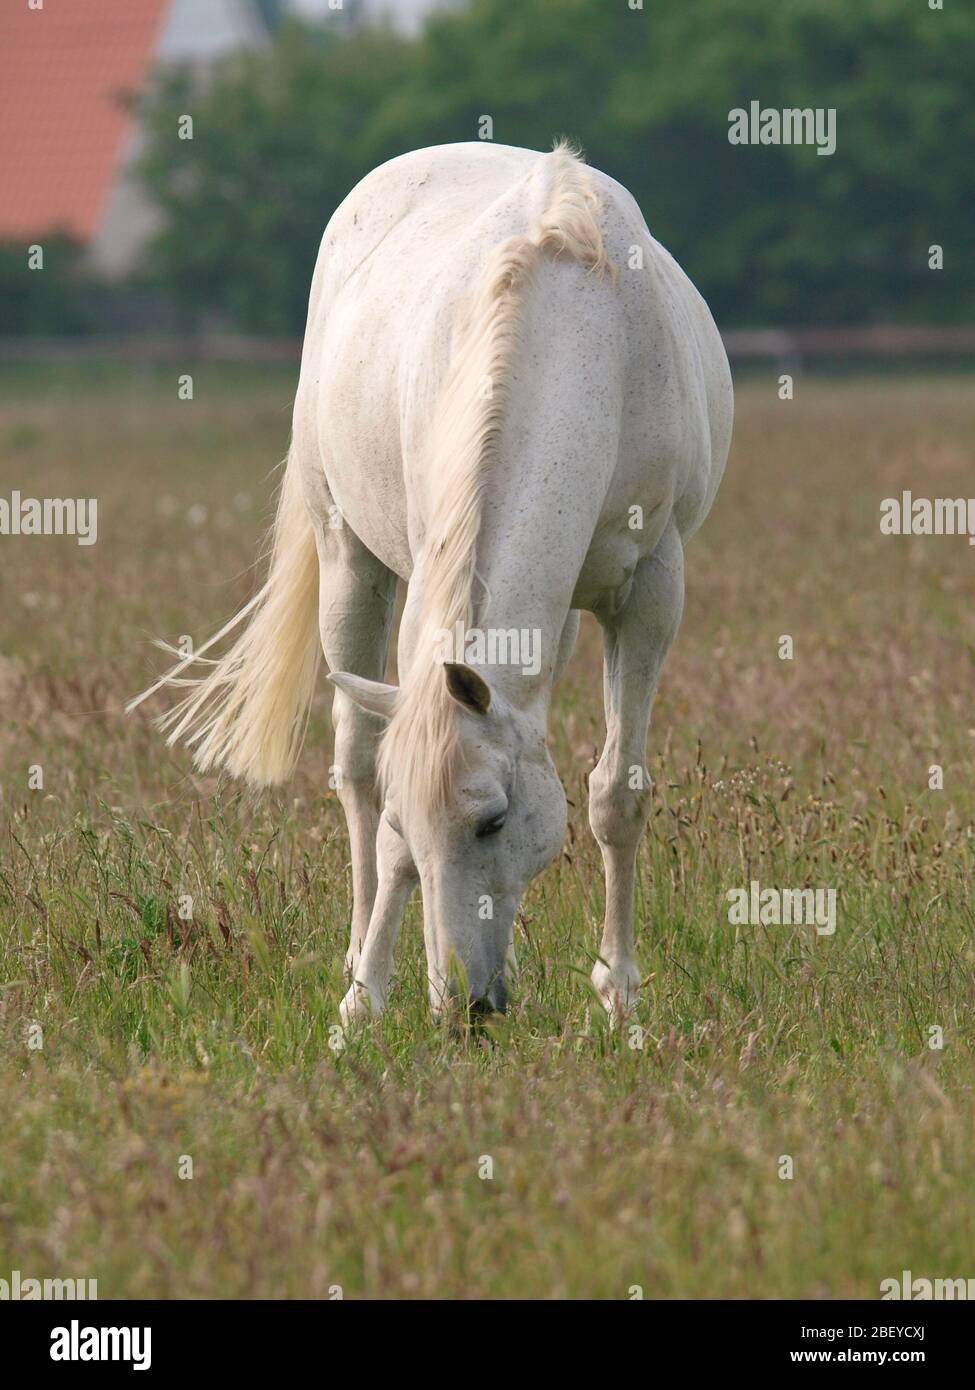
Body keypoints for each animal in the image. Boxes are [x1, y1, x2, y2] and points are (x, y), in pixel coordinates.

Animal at [130, 140, 733, 1025]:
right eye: (413, 826)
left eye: (492, 822)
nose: (462, 1006)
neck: (575, 333)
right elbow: (381, 809)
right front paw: (362, 1002)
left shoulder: (650, 592)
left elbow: (616, 795)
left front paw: (618, 998)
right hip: (349, 562)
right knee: (353, 760)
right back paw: (357, 957)